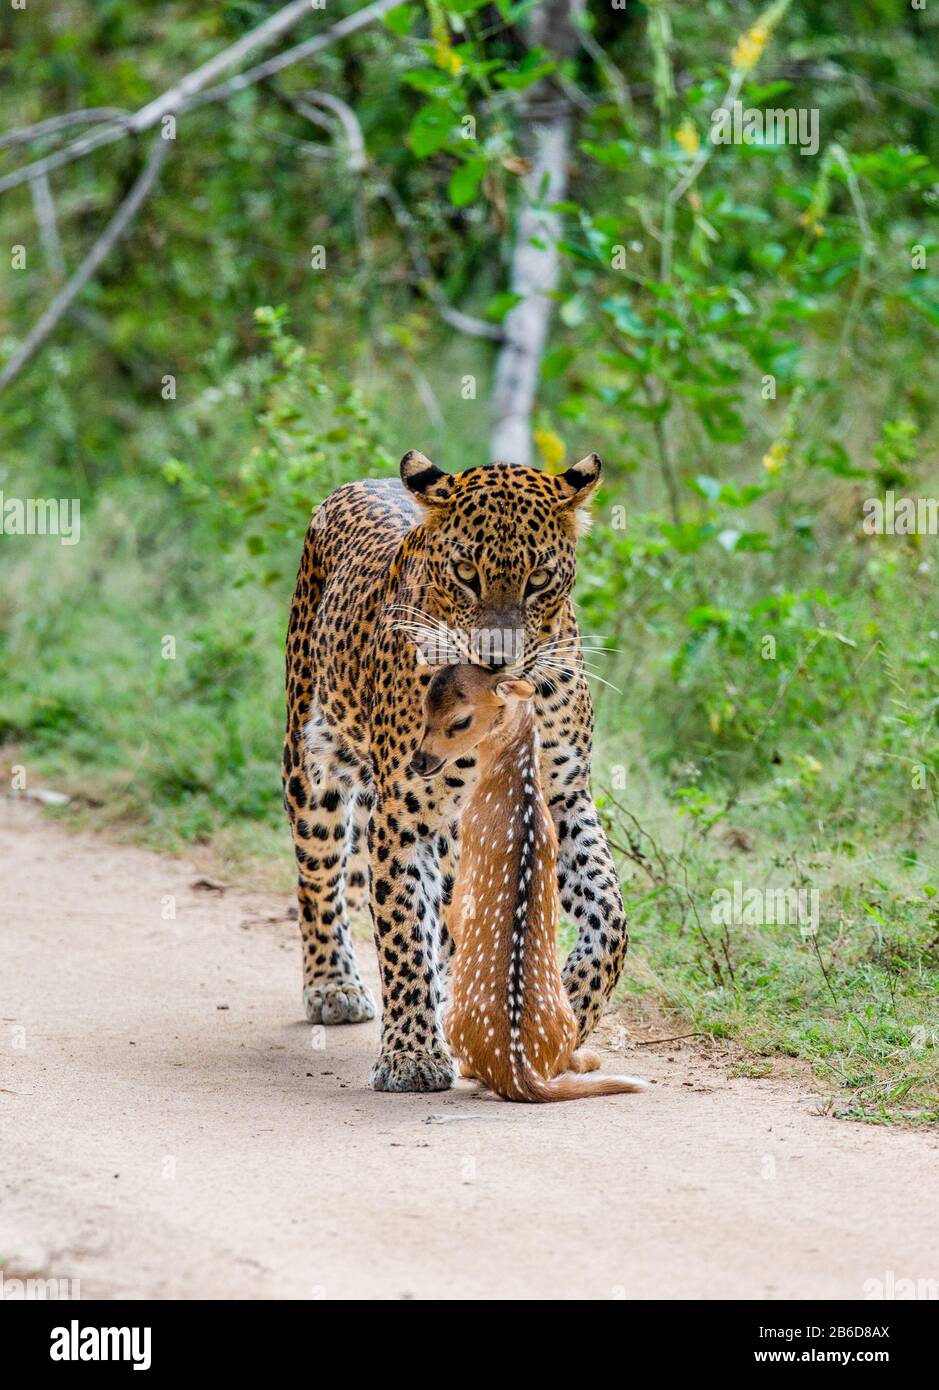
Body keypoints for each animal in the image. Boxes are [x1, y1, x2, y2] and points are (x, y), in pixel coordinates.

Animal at [282, 449, 629, 1092]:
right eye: (466, 573)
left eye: (538, 579)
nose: (496, 659)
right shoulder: (404, 812)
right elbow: (401, 936)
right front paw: (412, 1055)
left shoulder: (563, 794)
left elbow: (609, 913)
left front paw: (563, 1007)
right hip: (311, 768)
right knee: (319, 880)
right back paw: (333, 985)